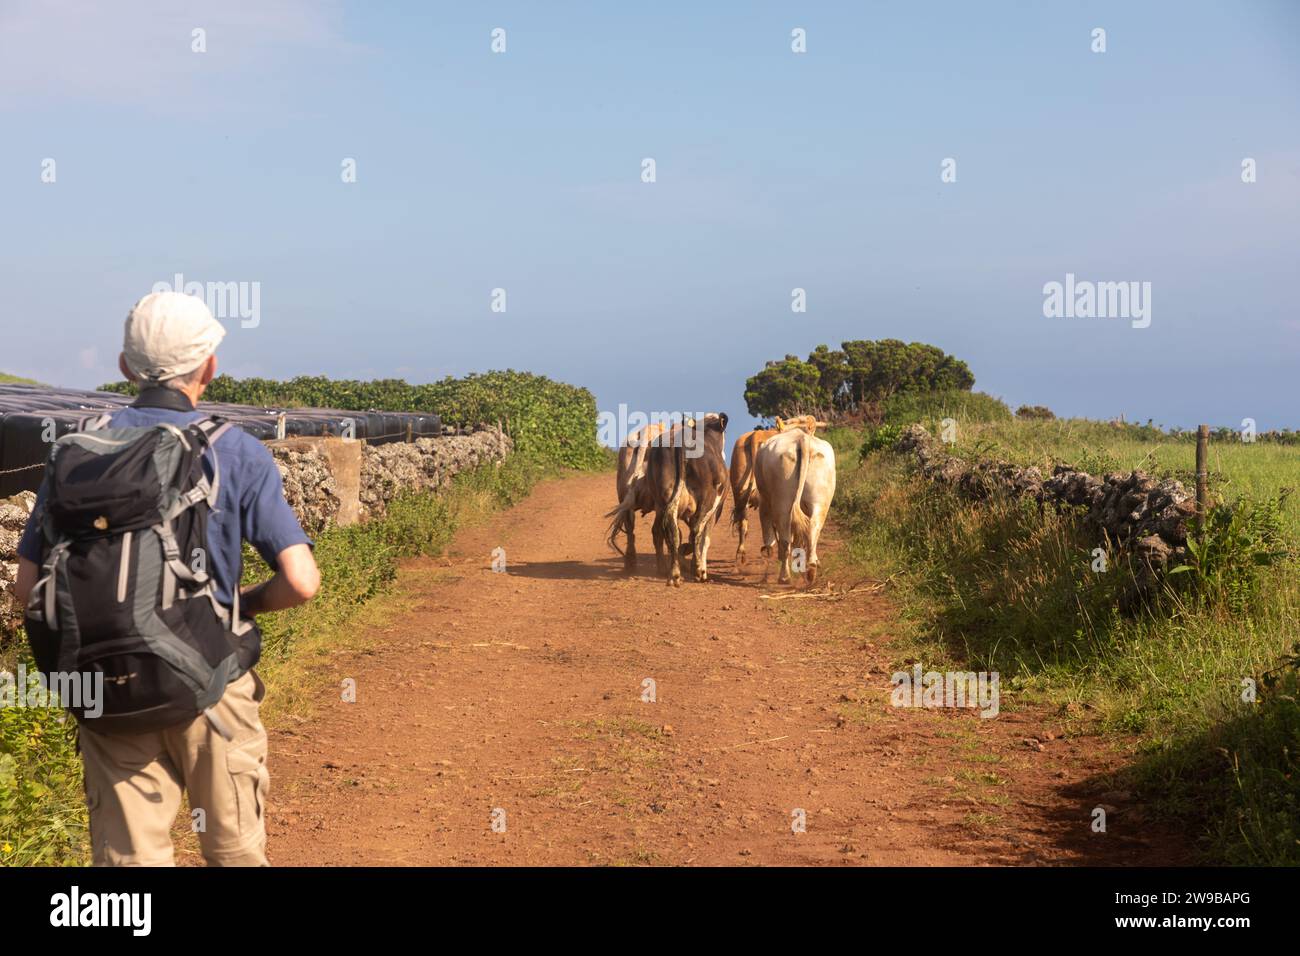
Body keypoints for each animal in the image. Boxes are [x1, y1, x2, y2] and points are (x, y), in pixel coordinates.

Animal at [607, 413, 729, 586]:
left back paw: (660, 570)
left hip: (649, 499)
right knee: (693, 530)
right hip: (706, 500)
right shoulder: (716, 509)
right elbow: (703, 538)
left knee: (652, 531)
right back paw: (695, 571)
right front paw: (697, 566)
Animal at [755, 427, 837, 586]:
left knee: (785, 539)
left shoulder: (765, 501)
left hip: (782, 501)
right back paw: (811, 568)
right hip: (820, 500)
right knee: (813, 528)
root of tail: (802, 439)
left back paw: (784, 576)